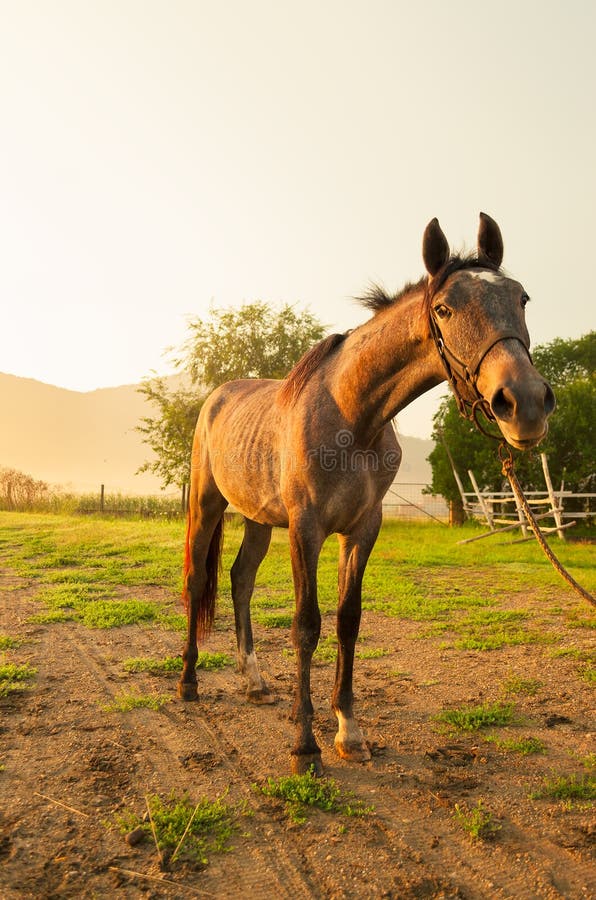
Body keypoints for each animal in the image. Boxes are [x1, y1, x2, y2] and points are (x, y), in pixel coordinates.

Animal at [178, 213, 555, 775]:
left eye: (522, 298)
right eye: (444, 308)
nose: (526, 404)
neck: (351, 415)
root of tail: (216, 397)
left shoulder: (361, 529)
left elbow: (348, 622)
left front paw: (349, 732)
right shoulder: (308, 529)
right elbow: (306, 625)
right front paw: (304, 745)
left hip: (259, 520)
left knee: (240, 580)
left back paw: (256, 683)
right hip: (207, 506)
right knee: (197, 578)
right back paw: (187, 682)